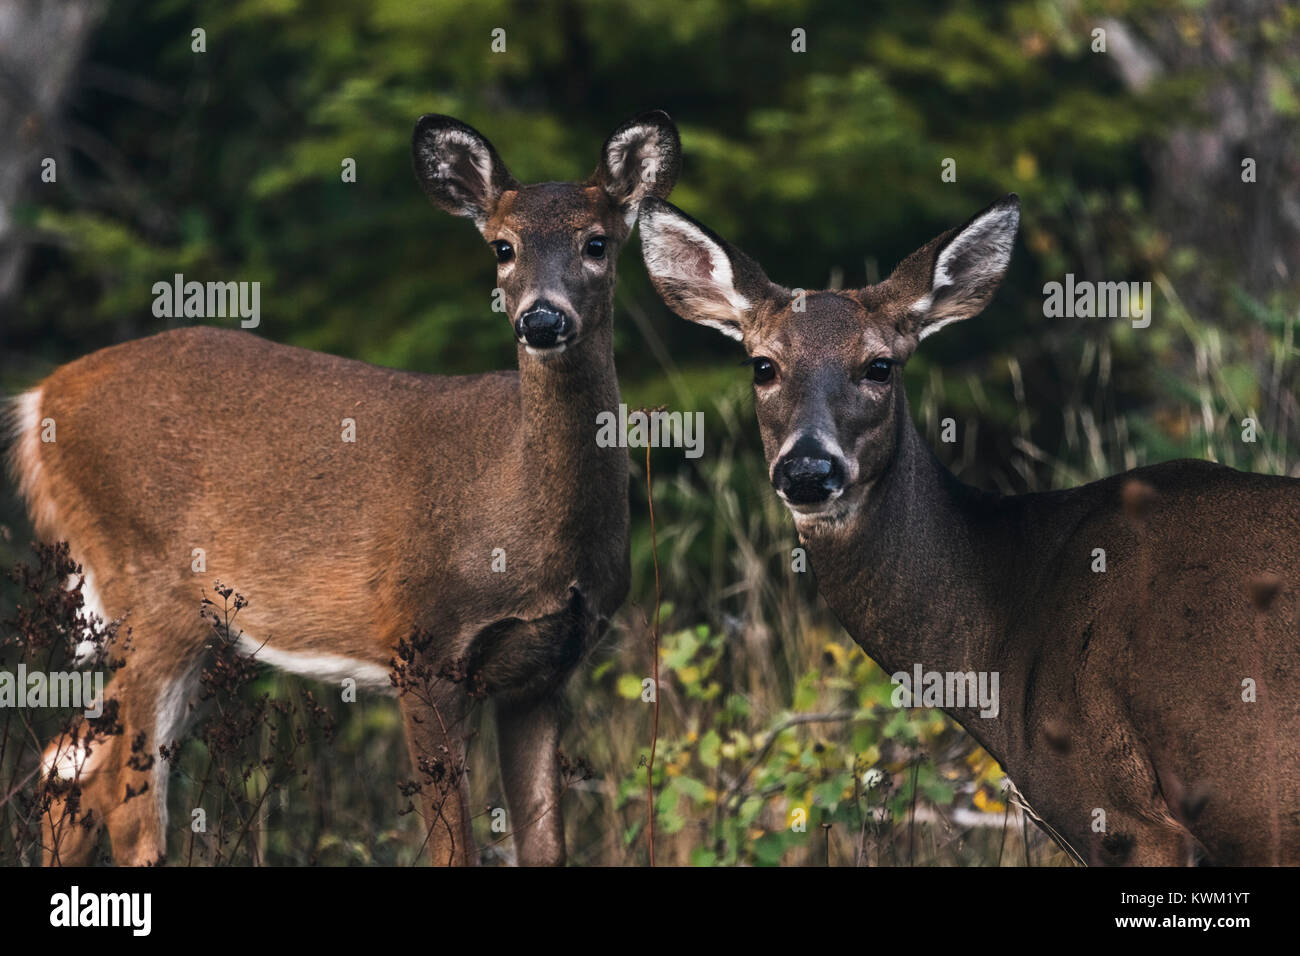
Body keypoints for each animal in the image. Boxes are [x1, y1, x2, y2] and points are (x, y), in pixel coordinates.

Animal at [5, 110, 681, 866]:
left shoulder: (543, 676)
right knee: (122, 796)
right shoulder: (422, 647)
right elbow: (453, 847)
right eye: (502, 248)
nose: (541, 319)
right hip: (148, 592)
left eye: (597, 243)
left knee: (66, 762)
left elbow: (544, 845)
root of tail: (38, 401)